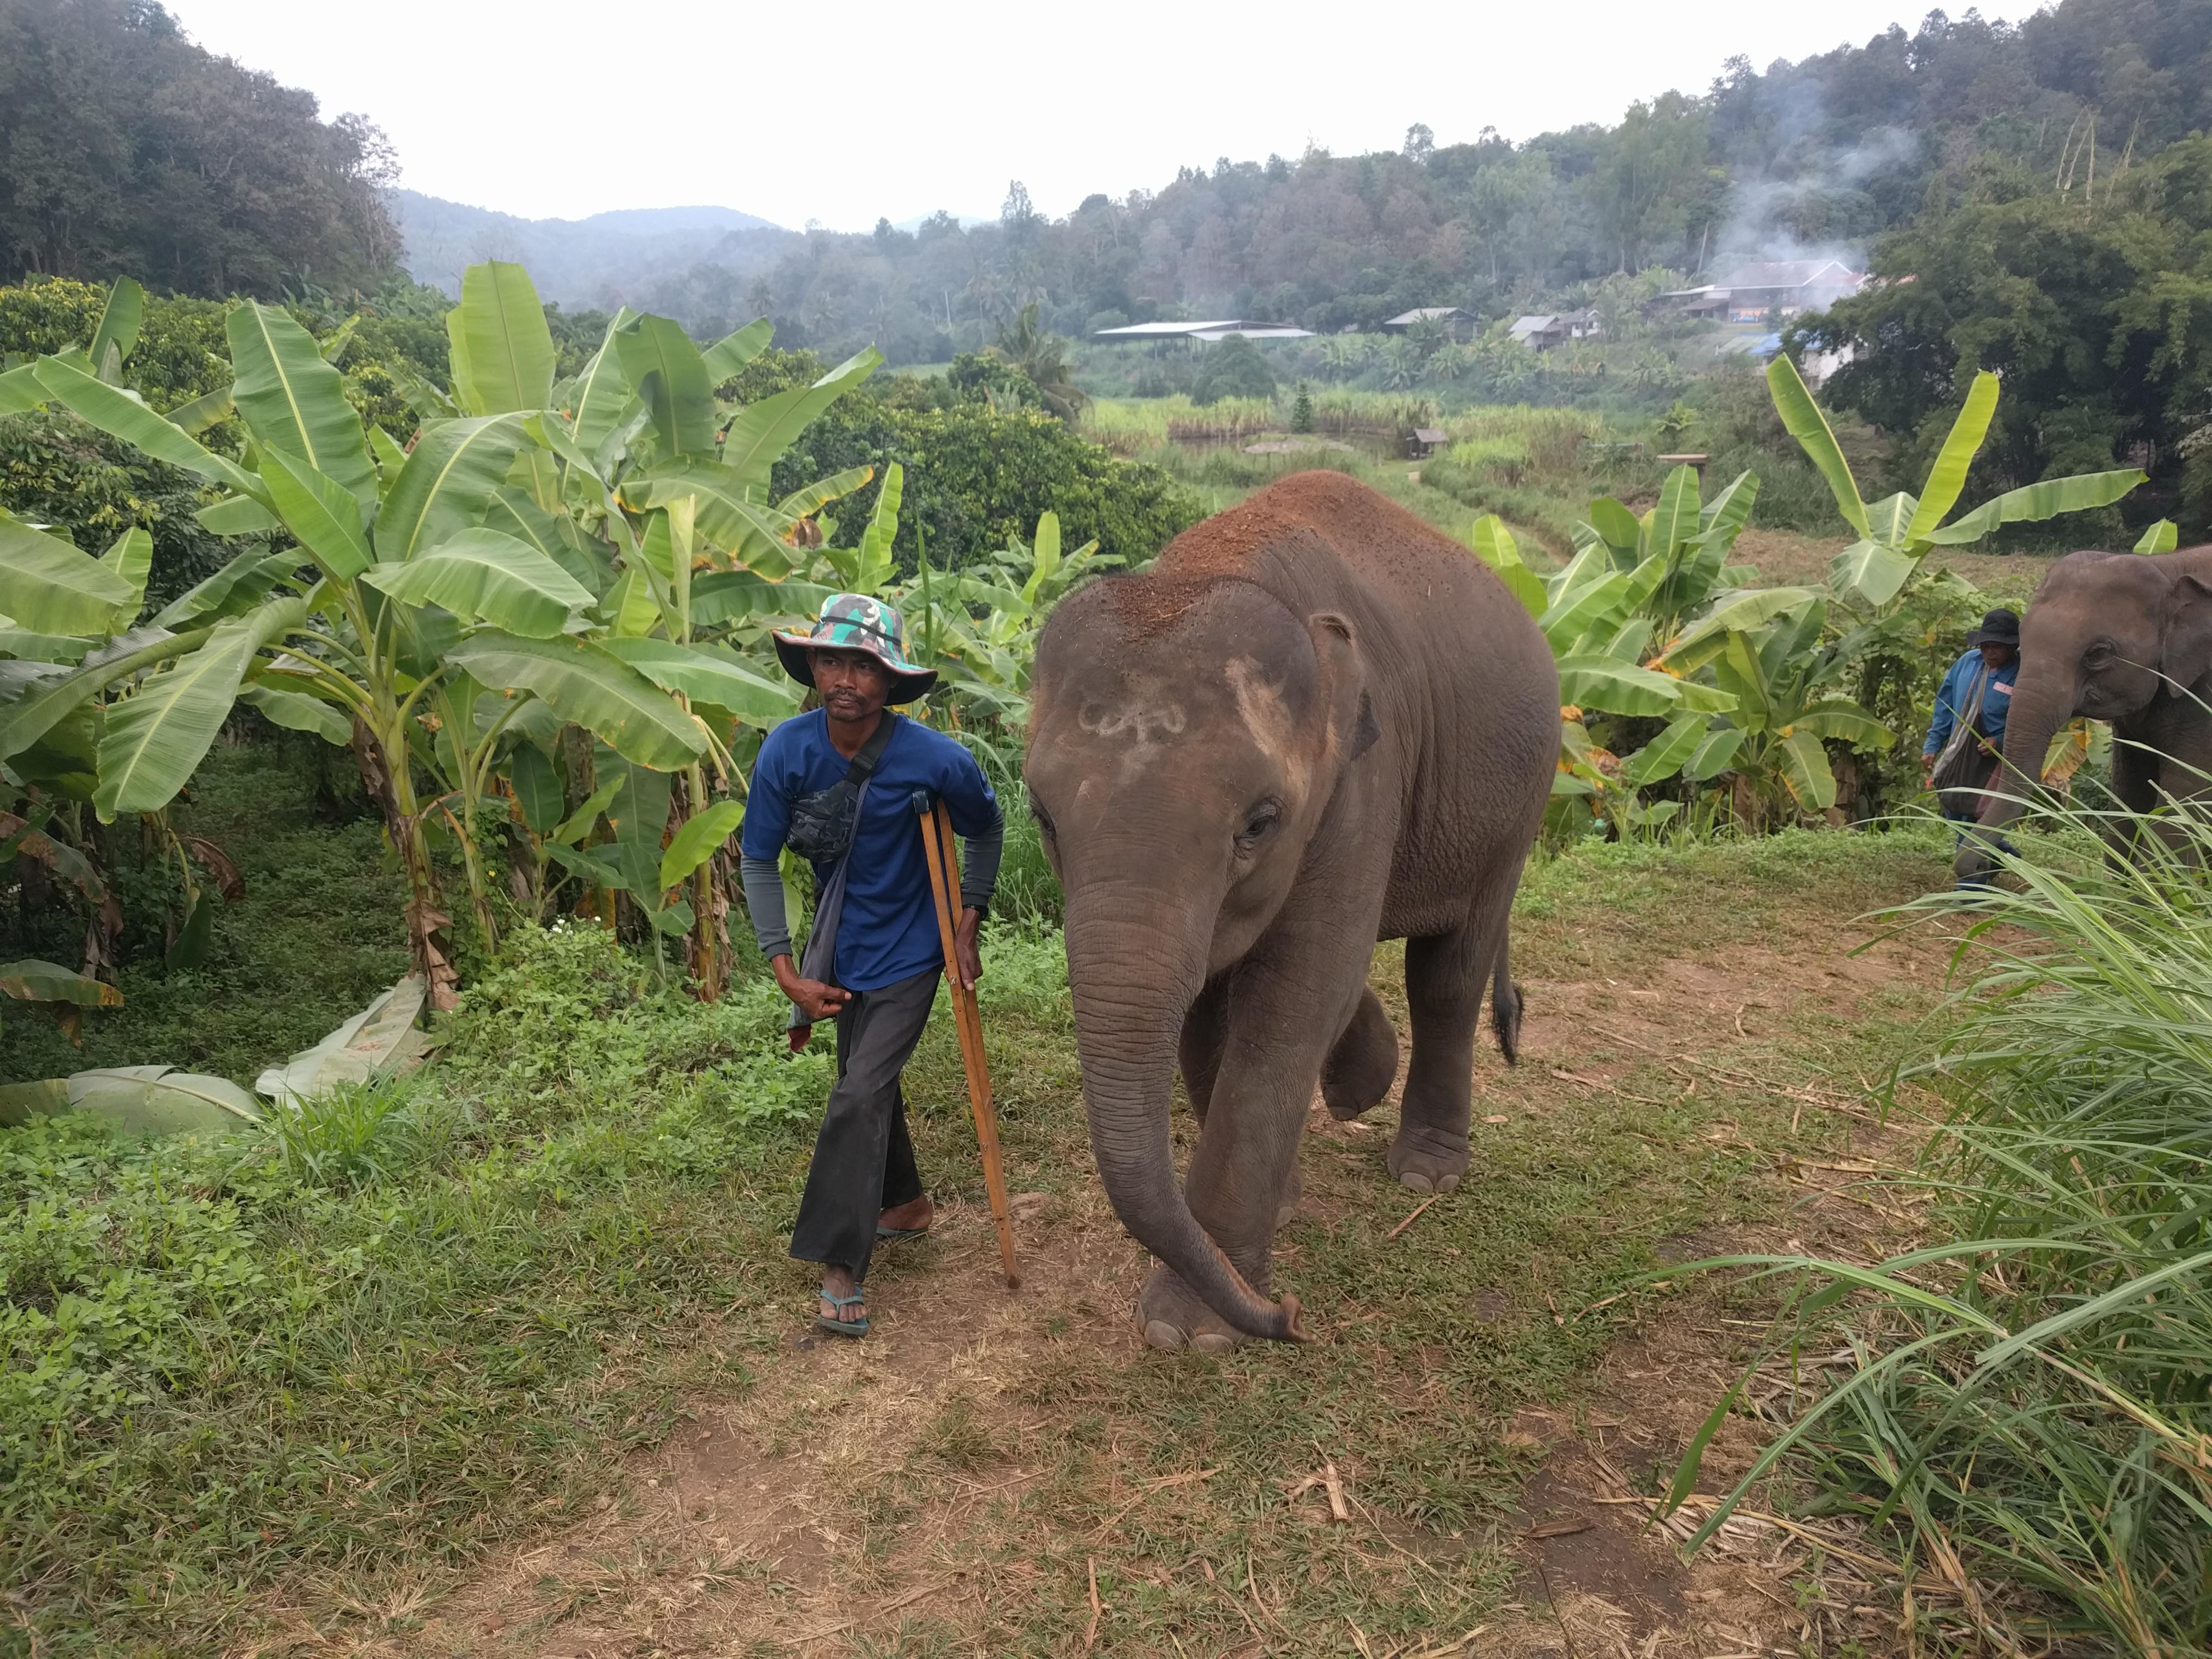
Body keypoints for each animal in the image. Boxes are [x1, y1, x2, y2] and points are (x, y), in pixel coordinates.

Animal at [1024, 471, 1560, 1351]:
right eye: (1040, 815)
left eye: (1260, 823)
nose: (1293, 1317)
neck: (1217, 564)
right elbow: (1212, 1009)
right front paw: (1273, 1220)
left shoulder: (1365, 779)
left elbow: (1291, 1004)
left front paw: (1192, 1330)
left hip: (1519, 805)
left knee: (1449, 974)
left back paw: (1428, 1173)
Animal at [1965, 544, 2212, 879]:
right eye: (2021, 641)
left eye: (2098, 654)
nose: (1980, 865)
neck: (2168, 566)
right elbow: (2130, 798)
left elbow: (2184, 809)